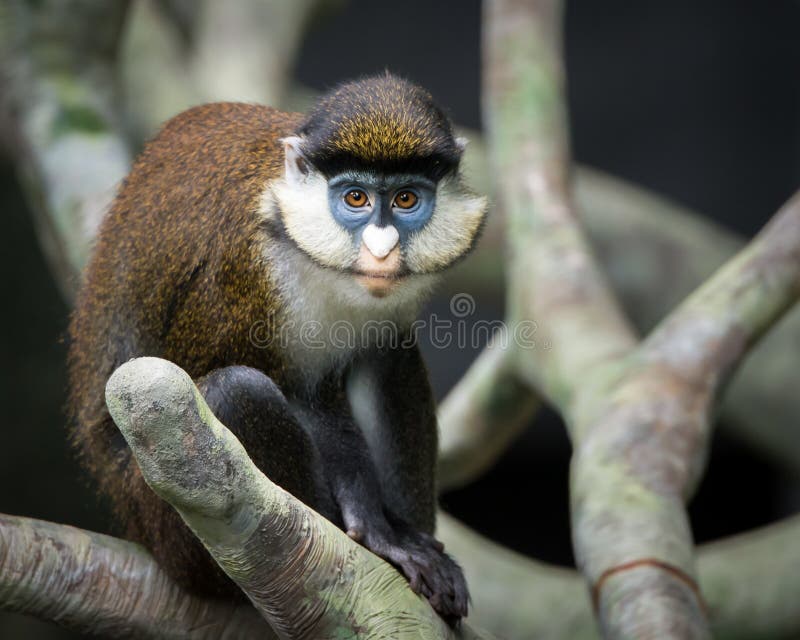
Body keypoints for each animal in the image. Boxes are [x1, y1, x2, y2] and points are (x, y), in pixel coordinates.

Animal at [67, 73, 487, 624]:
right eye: (355, 198)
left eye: (405, 200)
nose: (382, 249)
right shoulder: (240, 270)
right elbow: (265, 382)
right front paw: (380, 535)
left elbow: (368, 356)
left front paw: (396, 531)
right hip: (170, 532)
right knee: (236, 390)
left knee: (390, 356)